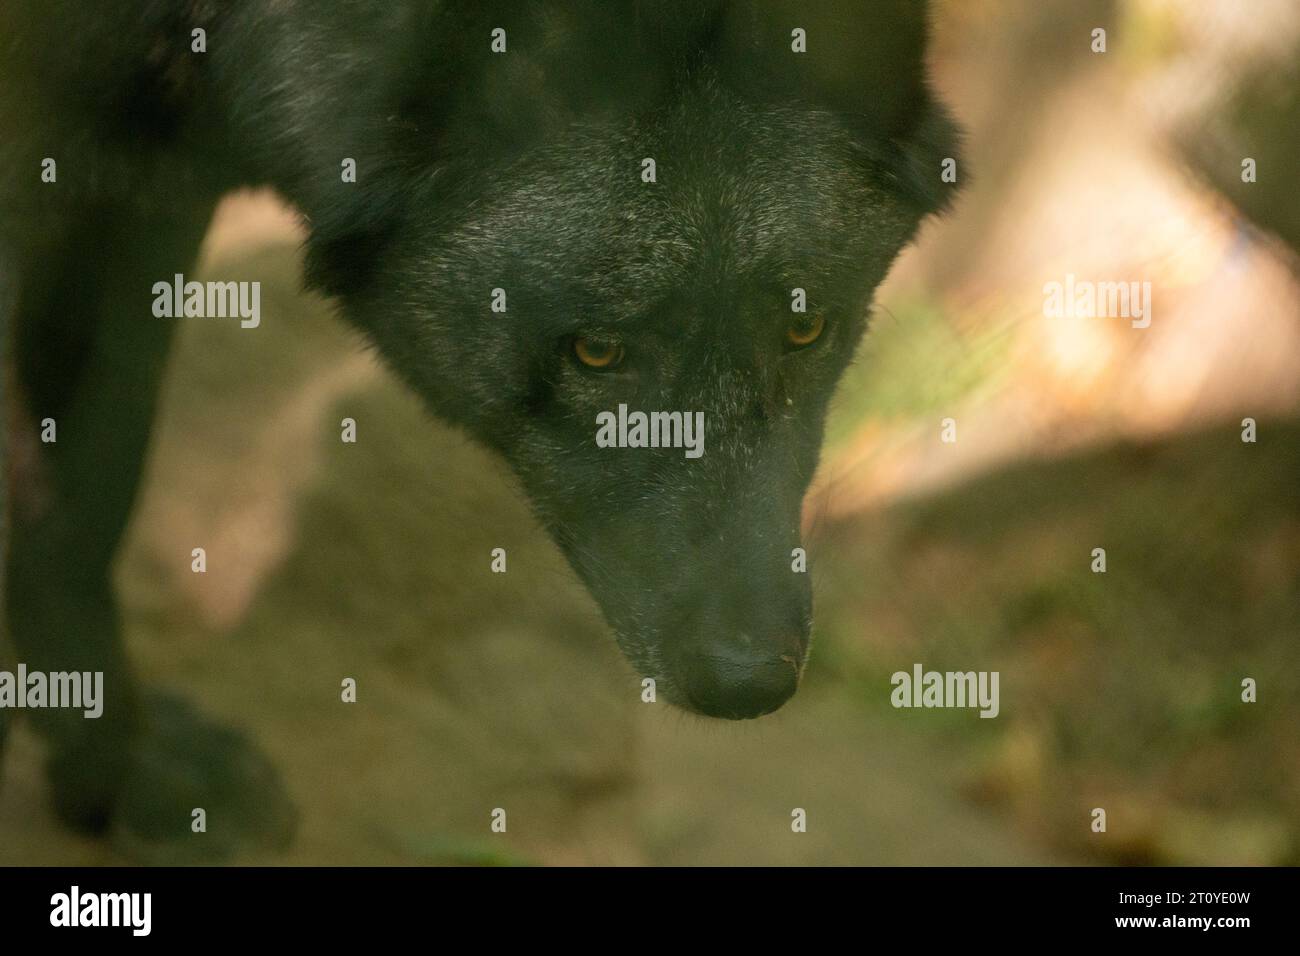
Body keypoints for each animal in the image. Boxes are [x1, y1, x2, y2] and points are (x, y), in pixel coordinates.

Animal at [0, 0, 960, 854]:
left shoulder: (143, 189)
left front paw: (119, 773)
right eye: (597, 349)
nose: (748, 678)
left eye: (805, 328)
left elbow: (84, 500)